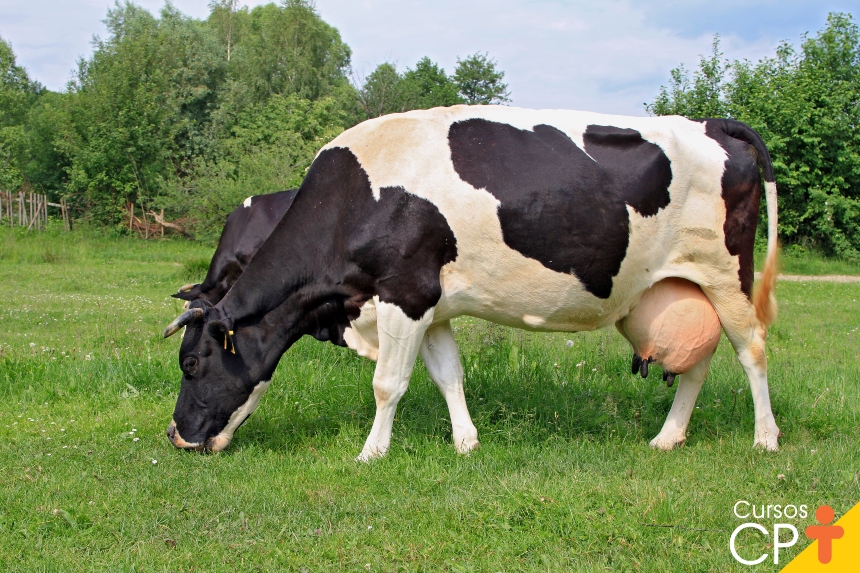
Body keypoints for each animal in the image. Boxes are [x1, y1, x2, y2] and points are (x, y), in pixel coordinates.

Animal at [162, 105, 780, 460]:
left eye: (191, 363)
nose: (175, 435)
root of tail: (710, 122)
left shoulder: (404, 292)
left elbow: (388, 383)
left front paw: (371, 453)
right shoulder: (431, 304)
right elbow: (448, 376)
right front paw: (465, 442)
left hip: (728, 274)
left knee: (751, 349)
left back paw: (765, 439)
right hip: (683, 286)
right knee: (697, 360)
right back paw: (668, 437)